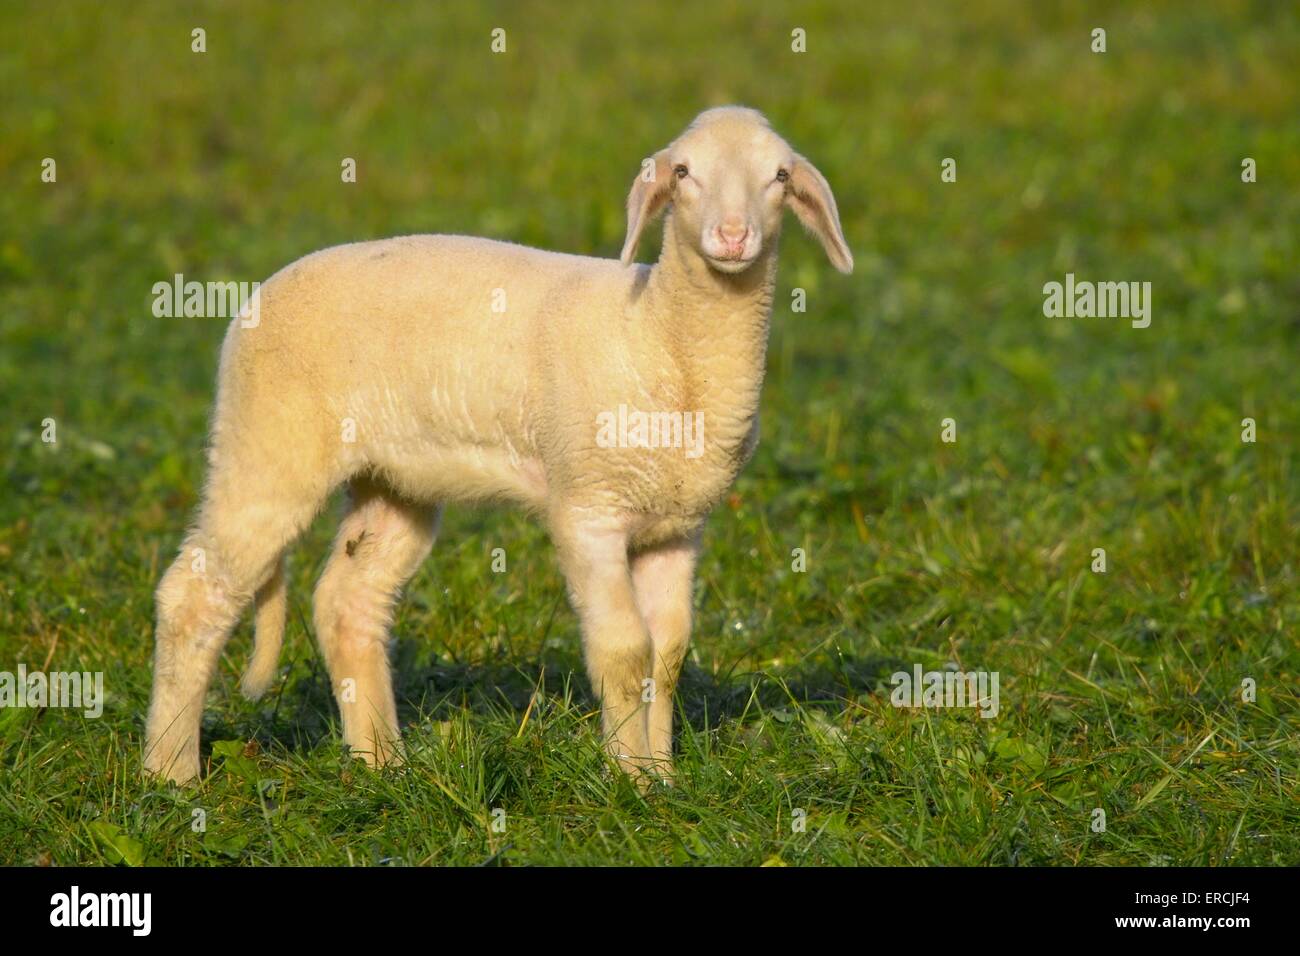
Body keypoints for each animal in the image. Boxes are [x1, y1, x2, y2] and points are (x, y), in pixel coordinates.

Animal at [143, 105, 852, 785]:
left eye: (780, 177)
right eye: (682, 172)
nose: (732, 236)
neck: (659, 334)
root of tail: (252, 301)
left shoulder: (676, 526)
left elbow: (669, 653)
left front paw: (665, 775)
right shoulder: (587, 508)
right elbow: (626, 650)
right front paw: (631, 781)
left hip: (394, 478)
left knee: (349, 603)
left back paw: (382, 766)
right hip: (266, 443)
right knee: (195, 596)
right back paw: (170, 772)